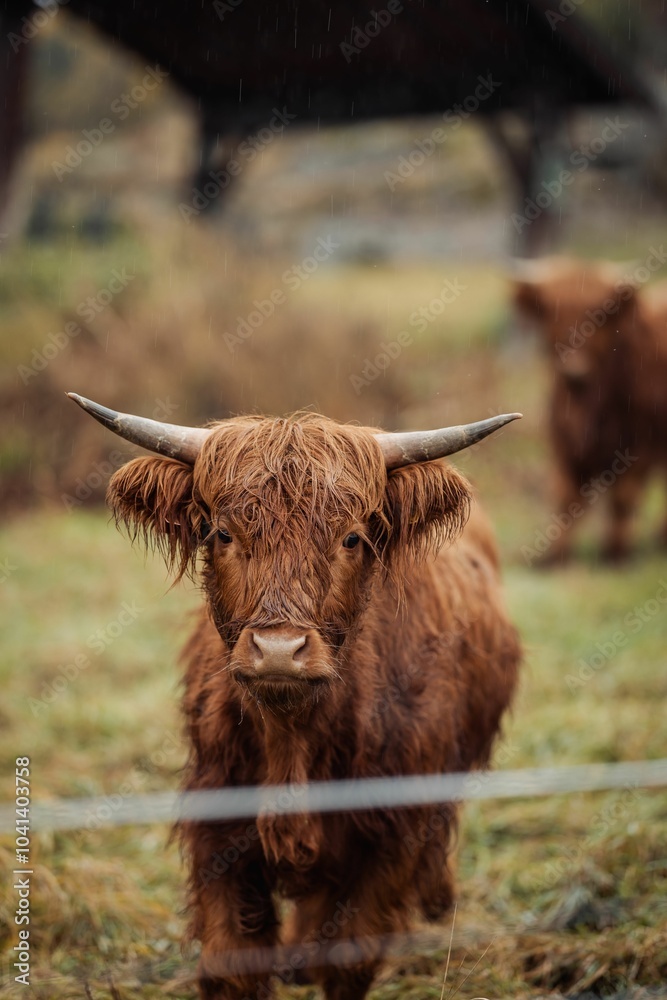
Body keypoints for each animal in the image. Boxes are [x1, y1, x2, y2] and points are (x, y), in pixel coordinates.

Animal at [68, 392, 521, 1000]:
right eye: (222, 533)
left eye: (351, 538)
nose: (279, 650)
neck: (293, 745)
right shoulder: (217, 826)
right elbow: (232, 964)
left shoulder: (391, 836)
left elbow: (349, 959)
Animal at [513, 257, 667, 564]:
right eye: (550, 310)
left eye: (601, 313)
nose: (575, 371)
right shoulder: (564, 442)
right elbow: (565, 495)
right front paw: (554, 556)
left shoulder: (639, 447)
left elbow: (623, 499)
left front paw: (616, 553)